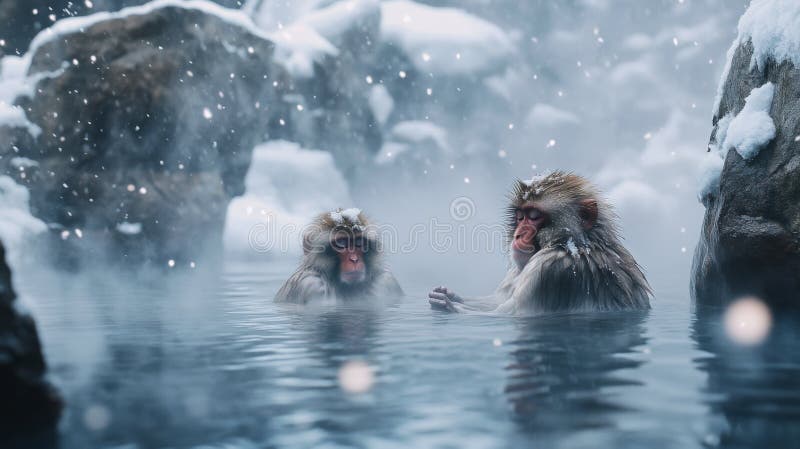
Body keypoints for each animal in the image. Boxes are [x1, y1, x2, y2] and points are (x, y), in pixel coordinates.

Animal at [428, 172, 651, 314]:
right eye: (520, 217)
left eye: (534, 216)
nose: (518, 235)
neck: (574, 245)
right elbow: (498, 301)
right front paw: (452, 296)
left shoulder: (550, 270)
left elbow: (512, 312)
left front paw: (452, 306)